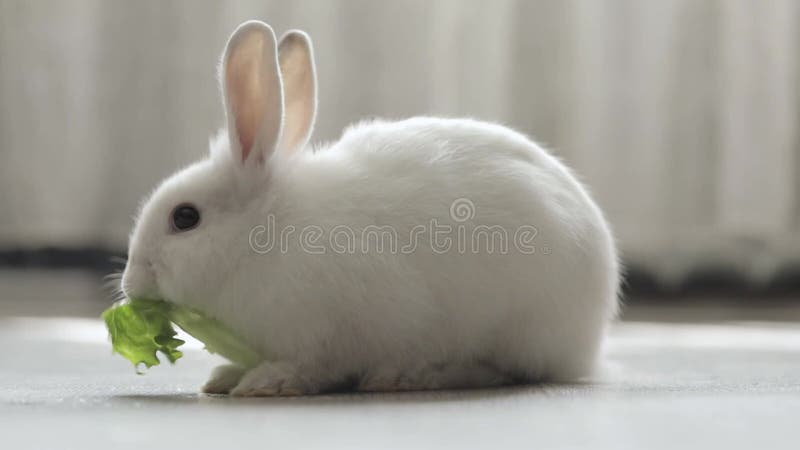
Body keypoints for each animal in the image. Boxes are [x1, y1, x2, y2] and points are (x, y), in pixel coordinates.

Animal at [121, 20, 620, 396]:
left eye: (185, 217)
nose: (130, 283)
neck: (262, 236)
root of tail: (590, 338)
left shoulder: (325, 334)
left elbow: (311, 366)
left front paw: (266, 382)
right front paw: (225, 377)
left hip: (516, 326)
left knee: (500, 370)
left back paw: (407, 375)